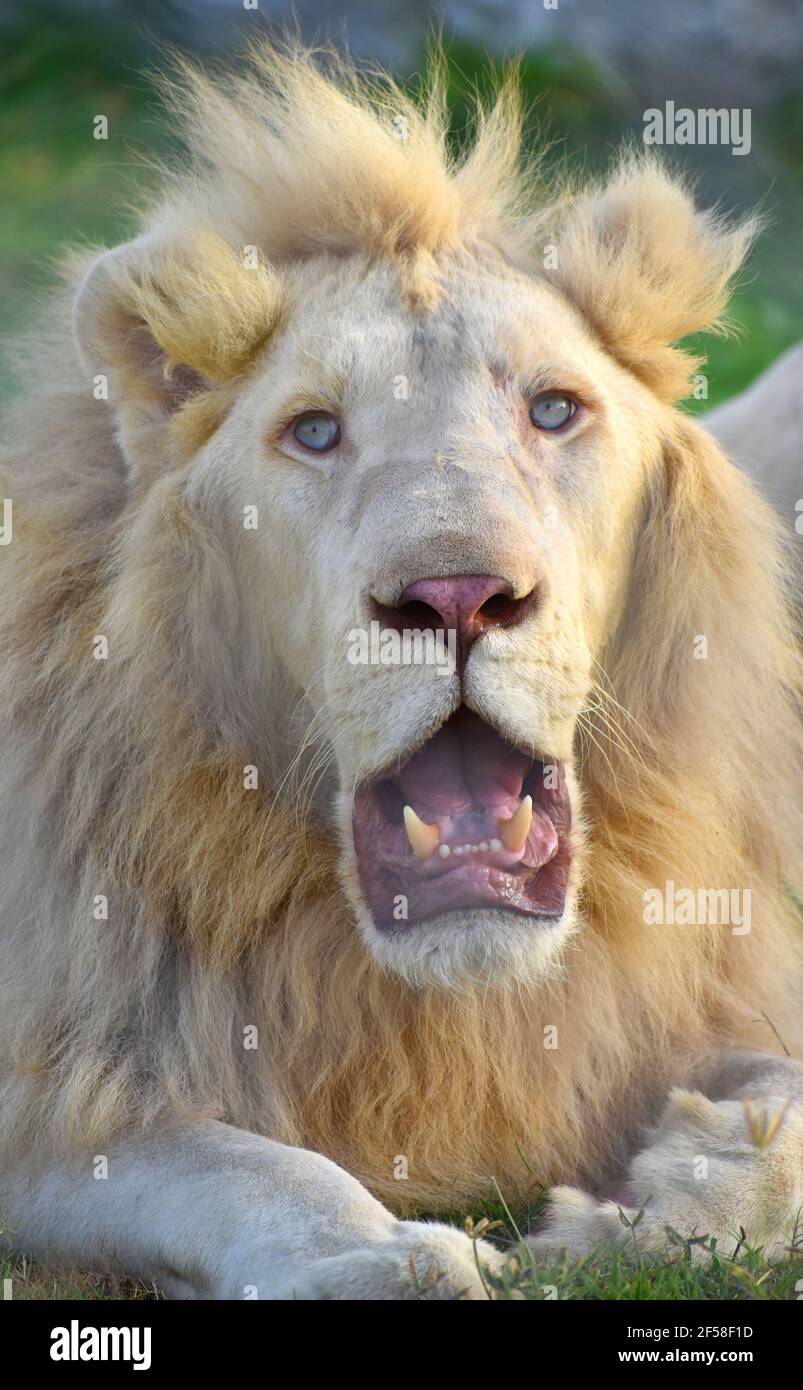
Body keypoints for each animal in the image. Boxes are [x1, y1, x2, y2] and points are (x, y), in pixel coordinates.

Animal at [0, 43, 801, 1301]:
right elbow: (234, 1161)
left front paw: (655, 1212)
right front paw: (386, 1256)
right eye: (315, 432)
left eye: (552, 408)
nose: (457, 595)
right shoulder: (63, 1067)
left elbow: (779, 1114)